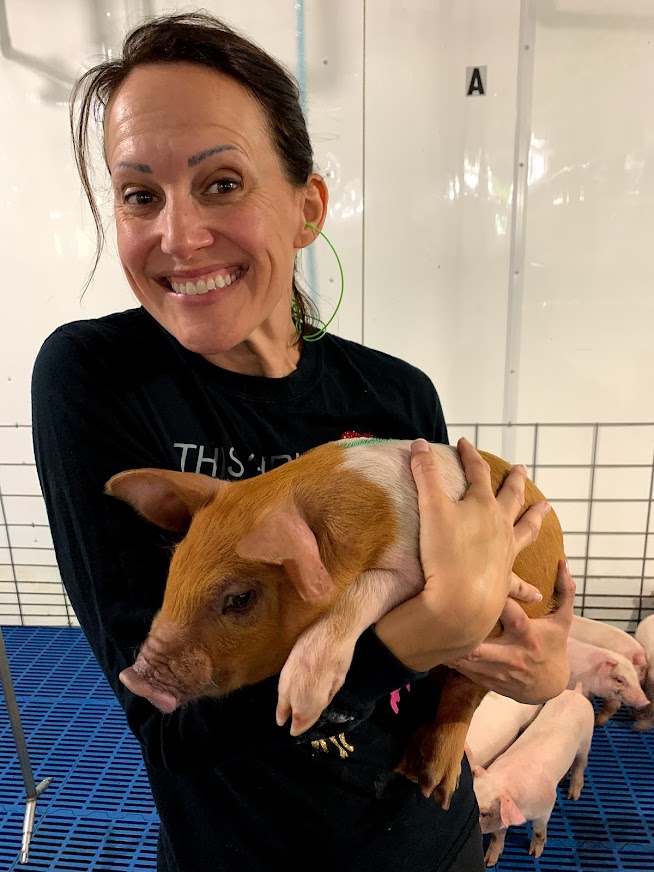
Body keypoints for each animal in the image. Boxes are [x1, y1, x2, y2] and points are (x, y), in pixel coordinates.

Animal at [107, 438, 564, 809]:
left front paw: (296, 713)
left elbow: (363, 589)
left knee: (464, 695)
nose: (134, 679)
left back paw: (435, 788)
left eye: (239, 598)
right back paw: (412, 775)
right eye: (173, 572)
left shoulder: (423, 569)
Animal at [473, 687, 594, 867]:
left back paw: (573, 796)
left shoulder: (546, 807)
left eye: (485, 813)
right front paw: (489, 861)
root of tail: (576, 692)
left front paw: (534, 855)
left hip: (586, 741)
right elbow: (497, 835)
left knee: (580, 764)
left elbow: (538, 831)